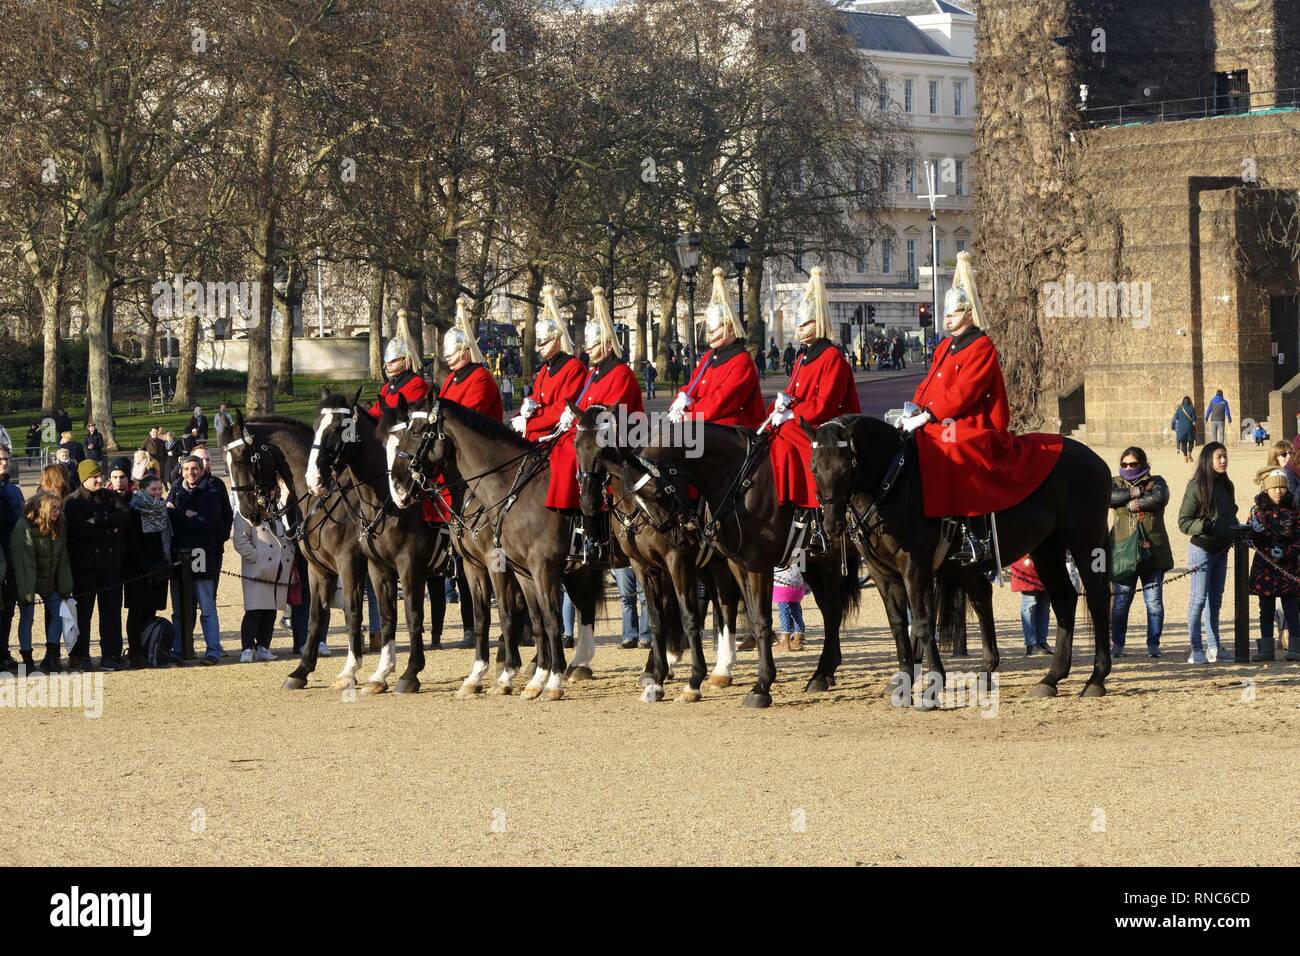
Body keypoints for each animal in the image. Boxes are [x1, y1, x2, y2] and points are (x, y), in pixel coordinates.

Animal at [383, 392, 606, 701]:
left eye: (416, 432)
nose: (398, 488)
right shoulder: (484, 566)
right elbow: (491, 617)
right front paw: (481, 675)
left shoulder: (513, 564)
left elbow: (519, 615)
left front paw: (518, 675)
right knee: (583, 608)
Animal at [572, 404, 744, 703]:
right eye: (576, 445)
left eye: (605, 449)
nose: (588, 502)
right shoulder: (643, 565)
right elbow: (656, 618)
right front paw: (658, 676)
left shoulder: (677, 561)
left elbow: (687, 616)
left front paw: (692, 680)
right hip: (706, 566)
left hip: (718, 563)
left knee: (725, 606)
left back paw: (722, 669)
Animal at [809, 415, 1112, 698]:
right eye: (813, 468)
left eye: (845, 467)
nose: (832, 525)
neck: (893, 482)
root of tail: (1096, 459)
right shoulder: (882, 572)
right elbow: (898, 625)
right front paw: (905, 679)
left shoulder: (915, 567)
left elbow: (922, 623)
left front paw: (933, 682)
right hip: (1046, 549)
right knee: (1063, 600)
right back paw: (1051, 678)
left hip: (1085, 545)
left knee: (1097, 600)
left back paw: (1095, 679)